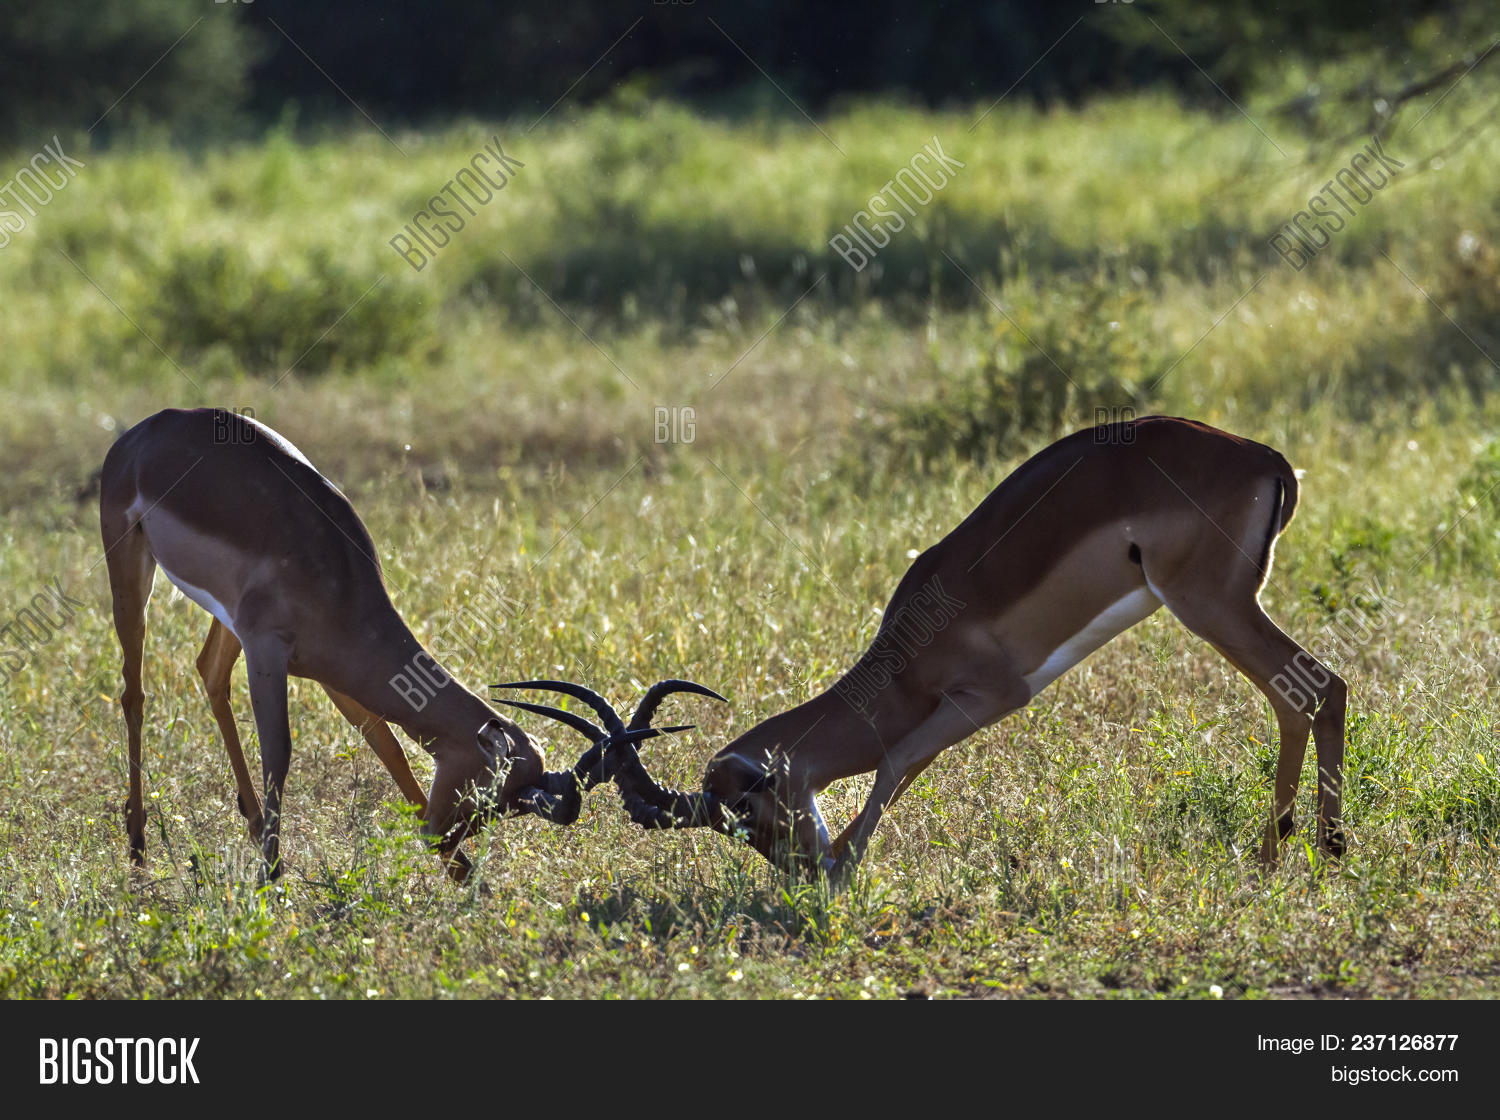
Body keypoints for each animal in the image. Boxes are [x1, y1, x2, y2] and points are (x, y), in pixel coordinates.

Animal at [99, 407, 700, 881]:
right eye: (489, 794)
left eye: (502, 808)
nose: (443, 836)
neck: (336, 575)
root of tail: (145, 431)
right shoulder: (268, 651)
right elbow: (281, 752)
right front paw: (271, 878)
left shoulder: (333, 672)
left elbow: (386, 746)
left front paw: (461, 877)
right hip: (131, 567)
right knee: (134, 692)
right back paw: (138, 848)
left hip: (225, 620)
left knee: (208, 672)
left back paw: (241, 822)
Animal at [503, 416, 1347, 886]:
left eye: (747, 811)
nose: (796, 877)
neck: (906, 653)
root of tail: (1264, 457)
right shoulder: (953, 712)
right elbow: (907, 765)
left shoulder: (997, 697)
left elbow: (892, 763)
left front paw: (842, 870)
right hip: (1221, 606)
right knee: (1302, 694)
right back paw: (1304, 850)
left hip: (1208, 604)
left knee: (1316, 686)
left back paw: (1301, 851)